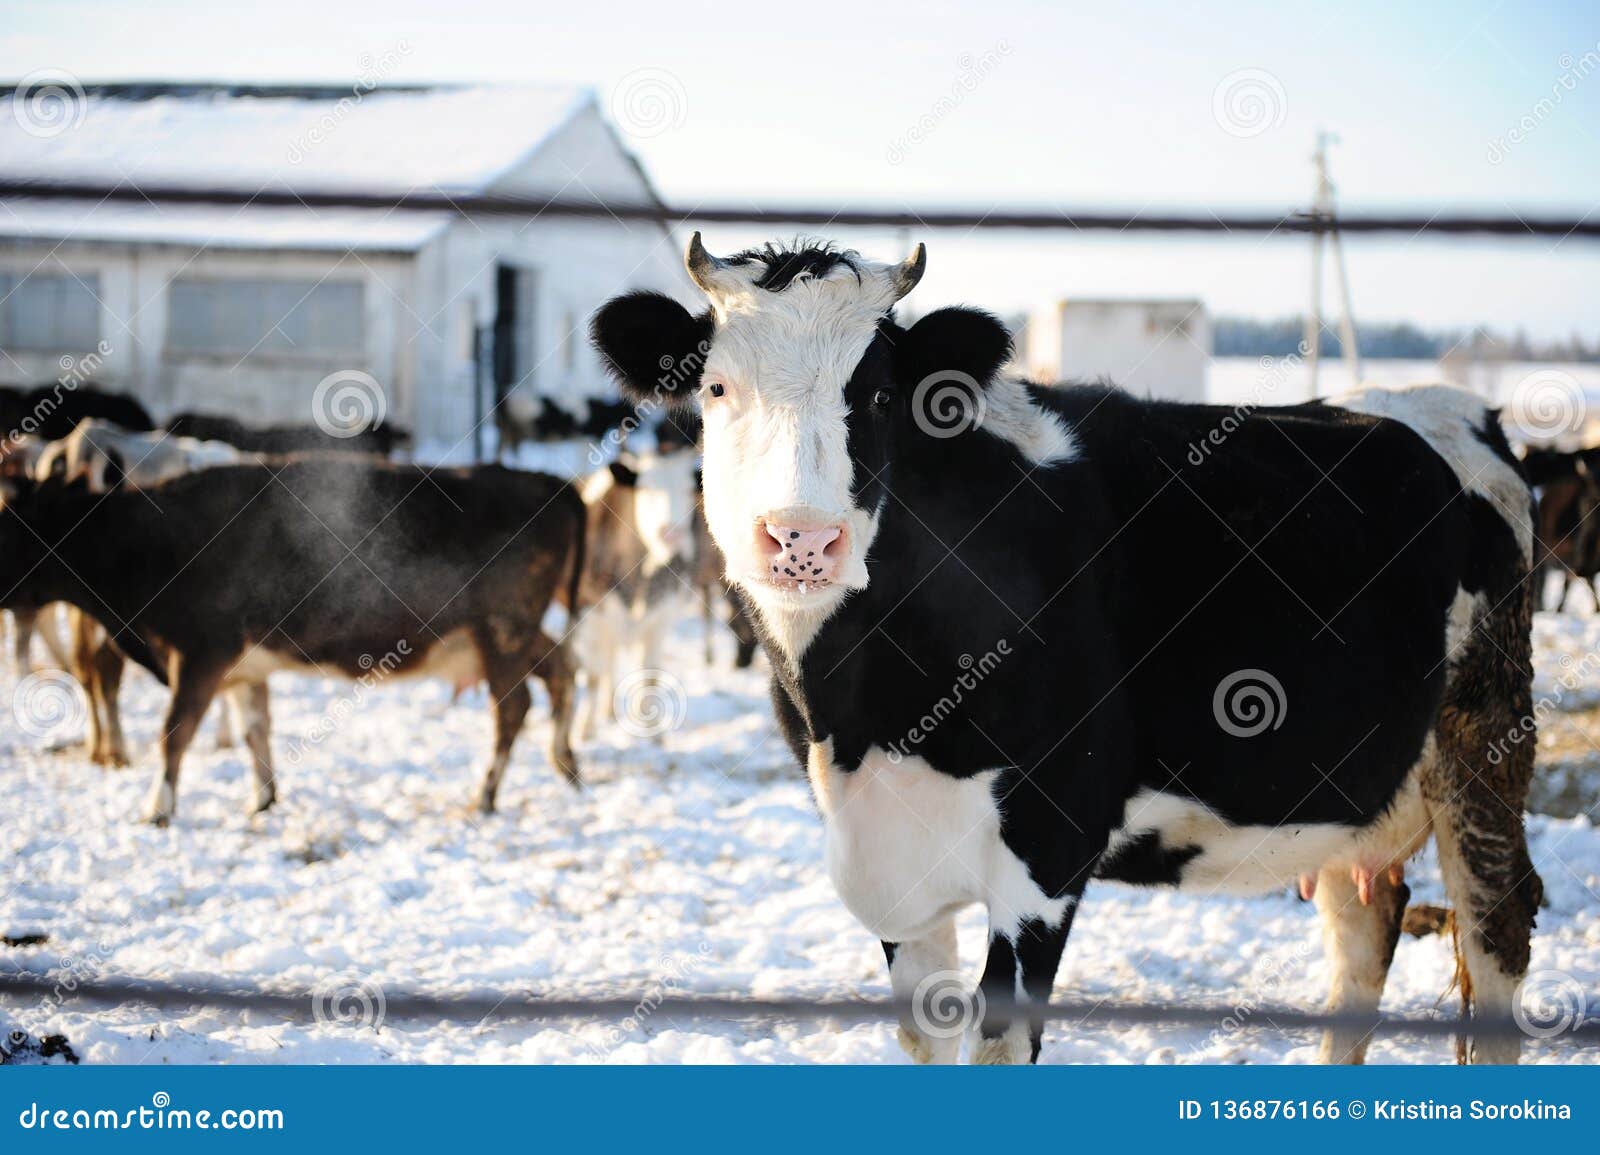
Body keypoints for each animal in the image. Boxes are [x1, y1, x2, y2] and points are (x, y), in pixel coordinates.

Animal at [0, 457, 584, 823]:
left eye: (10, 523)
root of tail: (548, 483)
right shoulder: (241, 667)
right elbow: (255, 728)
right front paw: (263, 799)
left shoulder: (201, 652)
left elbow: (174, 733)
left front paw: (157, 810)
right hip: (504, 635)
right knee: (561, 670)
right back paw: (565, 762)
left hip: (502, 631)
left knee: (514, 708)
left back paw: (485, 795)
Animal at [571, 451, 699, 739]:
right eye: (646, 489)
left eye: (689, 490)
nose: (672, 534)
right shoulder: (591, 613)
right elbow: (593, 675)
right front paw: (585, 729)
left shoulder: (661, 617)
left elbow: (650, 676)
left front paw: (652, 733)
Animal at [592, 236, 1541, 1065]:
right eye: (718, 386)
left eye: (877, 398)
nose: (800, 537)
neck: (863, 718)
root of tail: (1450, 408)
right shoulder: (886, 857)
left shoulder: (1050, 844)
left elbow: (997, 1045)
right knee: (1362, 933)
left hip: (1482, 733)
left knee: (1497, 923)